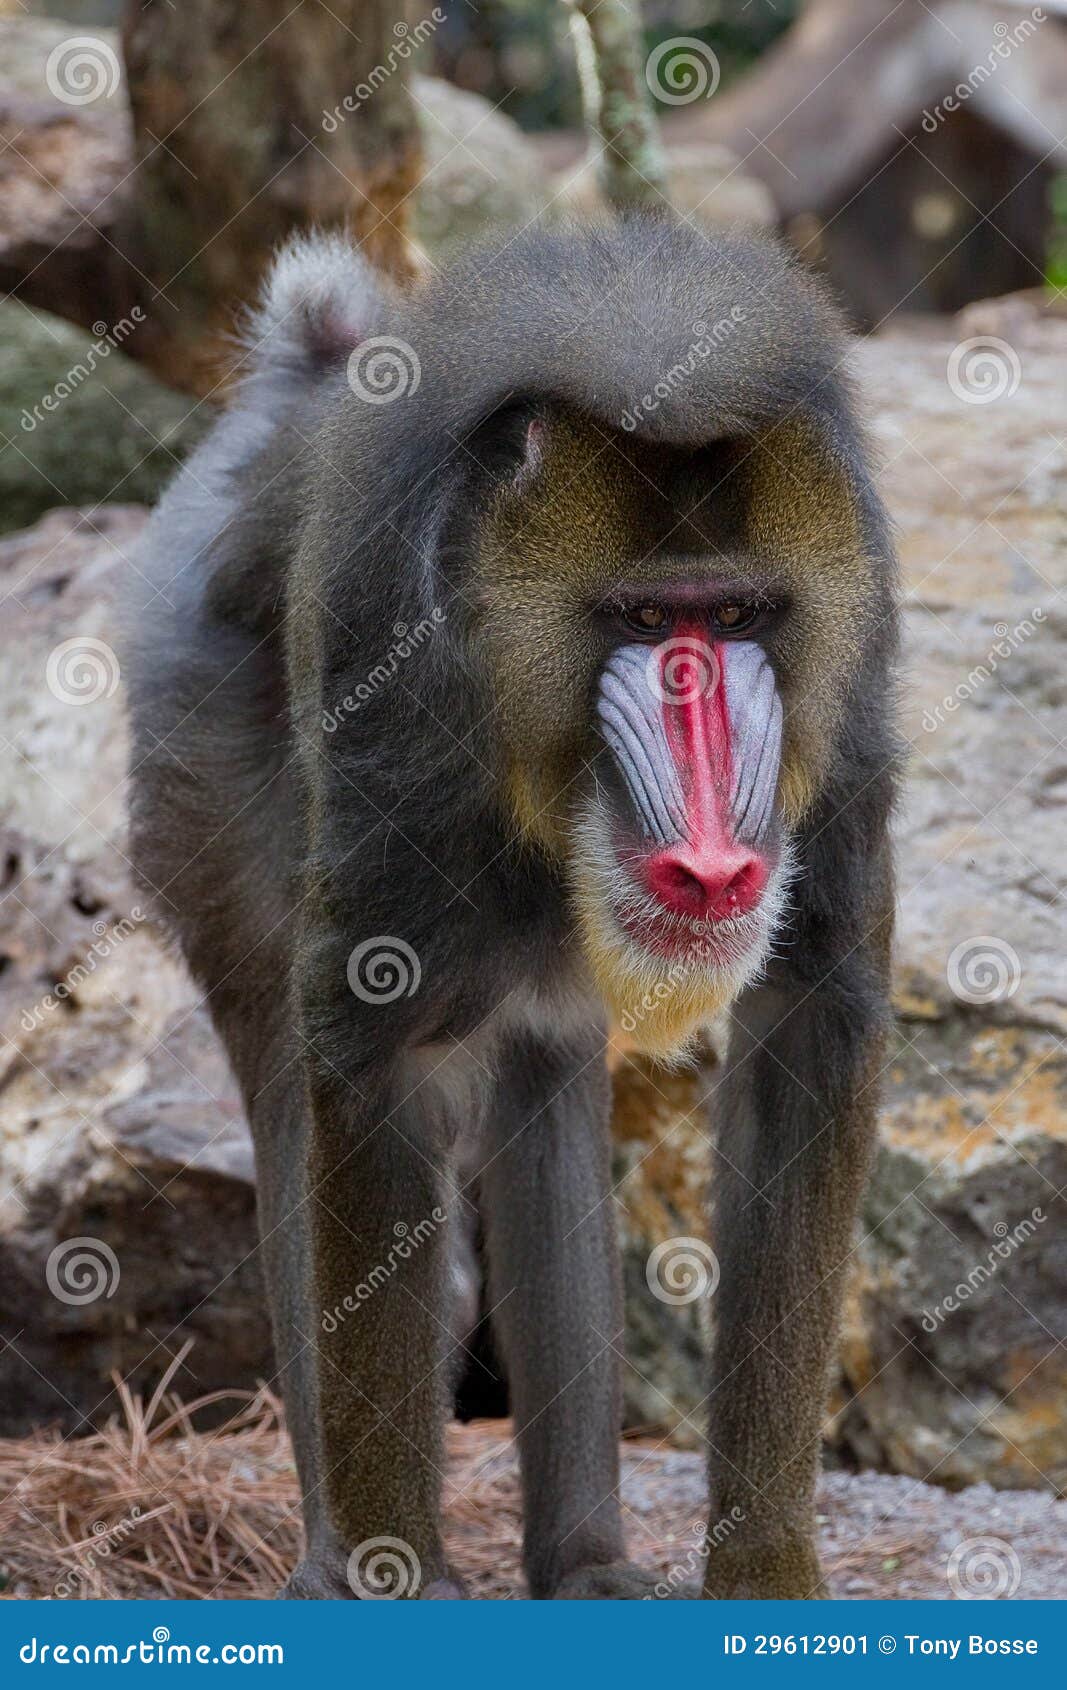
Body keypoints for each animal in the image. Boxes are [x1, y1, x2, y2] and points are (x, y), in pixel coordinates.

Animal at [124, 218, 898, 1600]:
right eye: (643, 620)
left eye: (733, 616)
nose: (713, 864)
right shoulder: (401, 719)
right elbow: (367, 1067)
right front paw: (391, 1571)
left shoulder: (841, 715)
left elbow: (809, 1020)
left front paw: (763, 1575)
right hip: (202, 762)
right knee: (288, 1101)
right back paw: (331, 1563)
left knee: (545, 1088)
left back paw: (585, 1564)